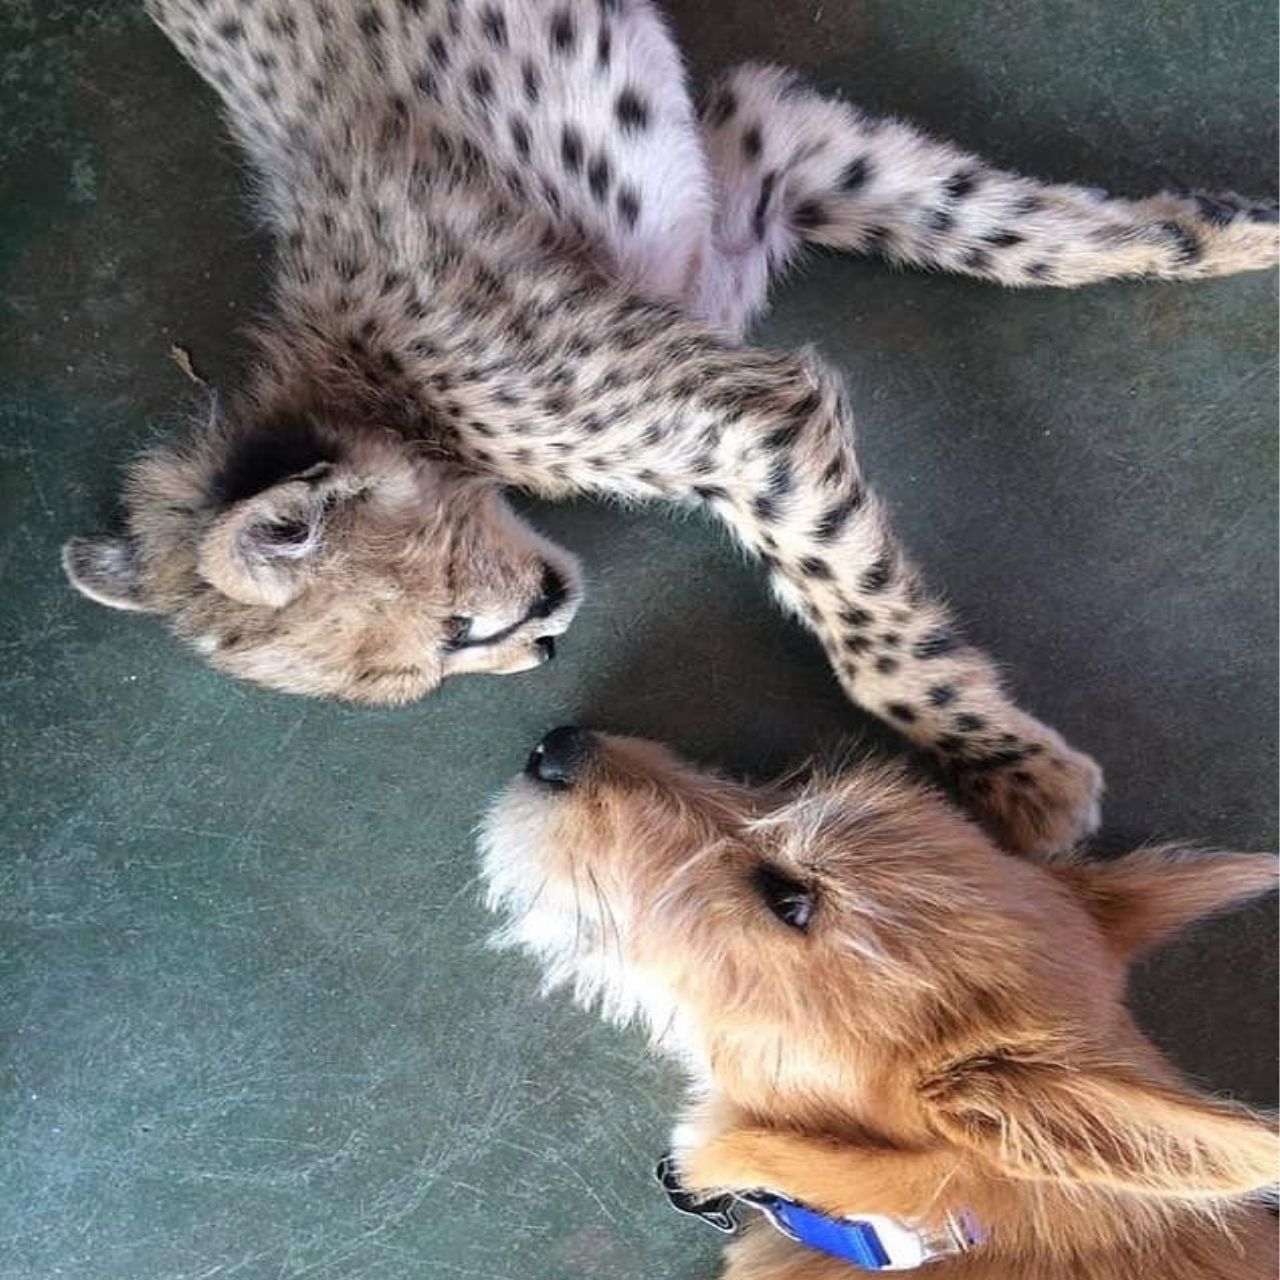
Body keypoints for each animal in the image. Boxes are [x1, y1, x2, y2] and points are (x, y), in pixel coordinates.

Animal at [61, 0, 1278, 856]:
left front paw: (1010, 775)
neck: (379, 389)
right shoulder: (762, 162)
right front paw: (1208, 232)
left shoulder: (745, 419)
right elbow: (999, 225)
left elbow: (864, 634)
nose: (546, 644)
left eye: (452, 635)